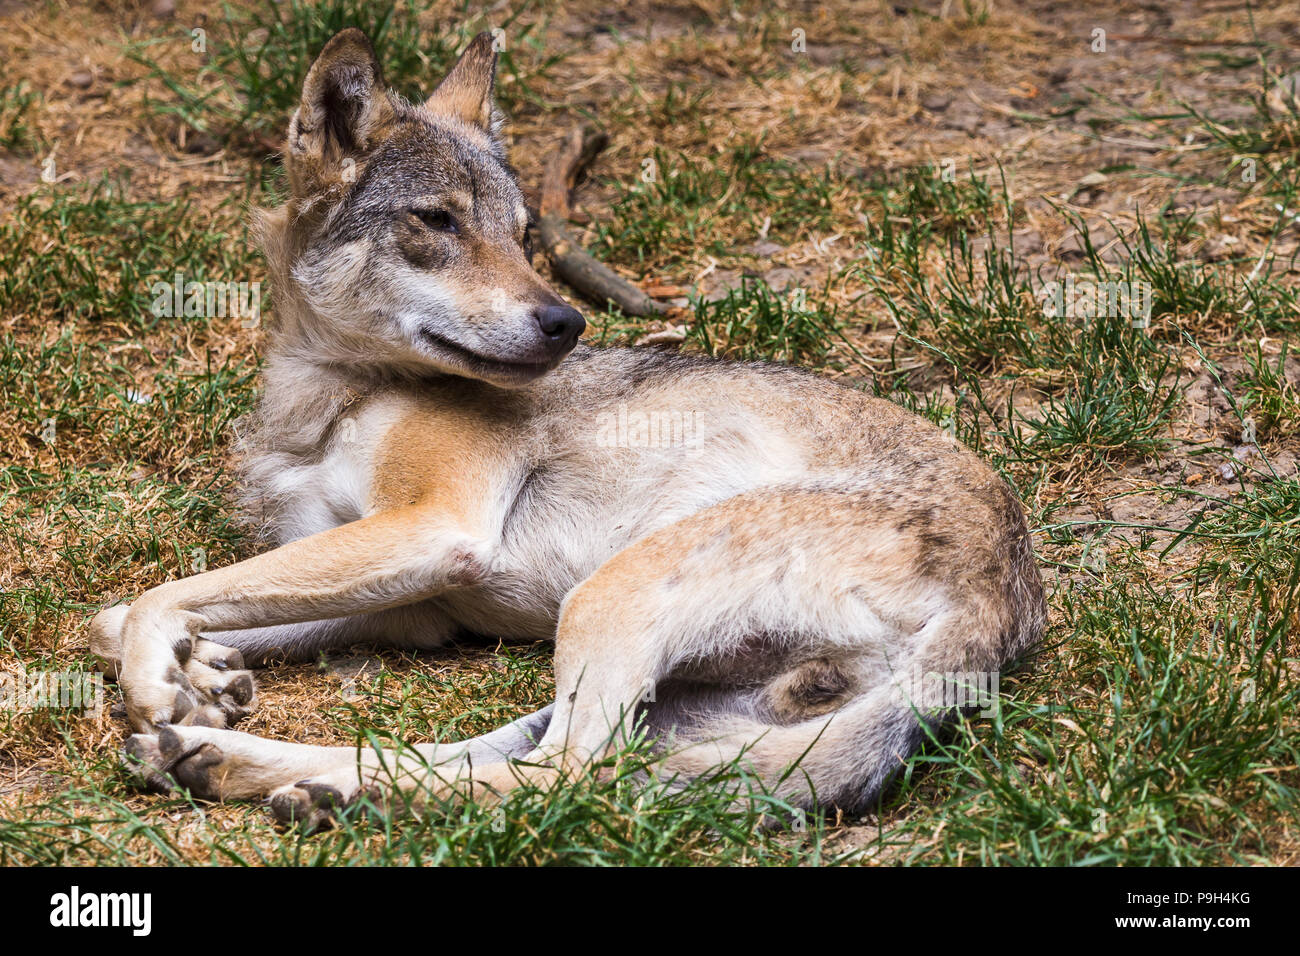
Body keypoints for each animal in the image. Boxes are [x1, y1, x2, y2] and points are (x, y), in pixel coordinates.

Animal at [89, 29, 1045, 830]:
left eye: (521, 236)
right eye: (436, 221)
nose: (566, 324)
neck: (334, 397)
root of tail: (1009, 605)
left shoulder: (432, 532)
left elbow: (156, 597)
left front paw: (166, 678)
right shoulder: (408, 607)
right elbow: (115, 617)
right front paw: (202, 672)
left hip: (604, 600)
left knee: (571, 779)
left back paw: (301, 785)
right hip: (647, 682)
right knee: (489, 758)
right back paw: (241, 766)